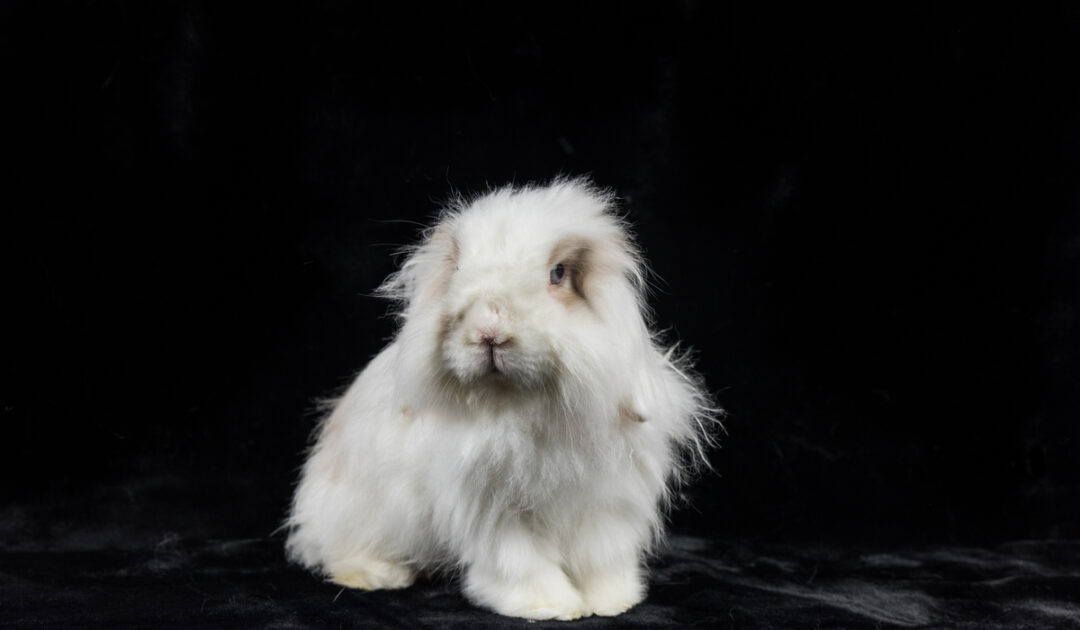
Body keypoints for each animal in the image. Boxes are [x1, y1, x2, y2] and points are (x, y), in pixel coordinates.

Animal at [285, 177, 718, 620]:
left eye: (557, 273)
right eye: (458, 271)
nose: (488, 331)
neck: (522, 406)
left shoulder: (606, 504)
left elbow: (601, 557)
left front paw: (612, 601)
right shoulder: (494, 513)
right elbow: (521, 562)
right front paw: (548, 606)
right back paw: (376, 576)